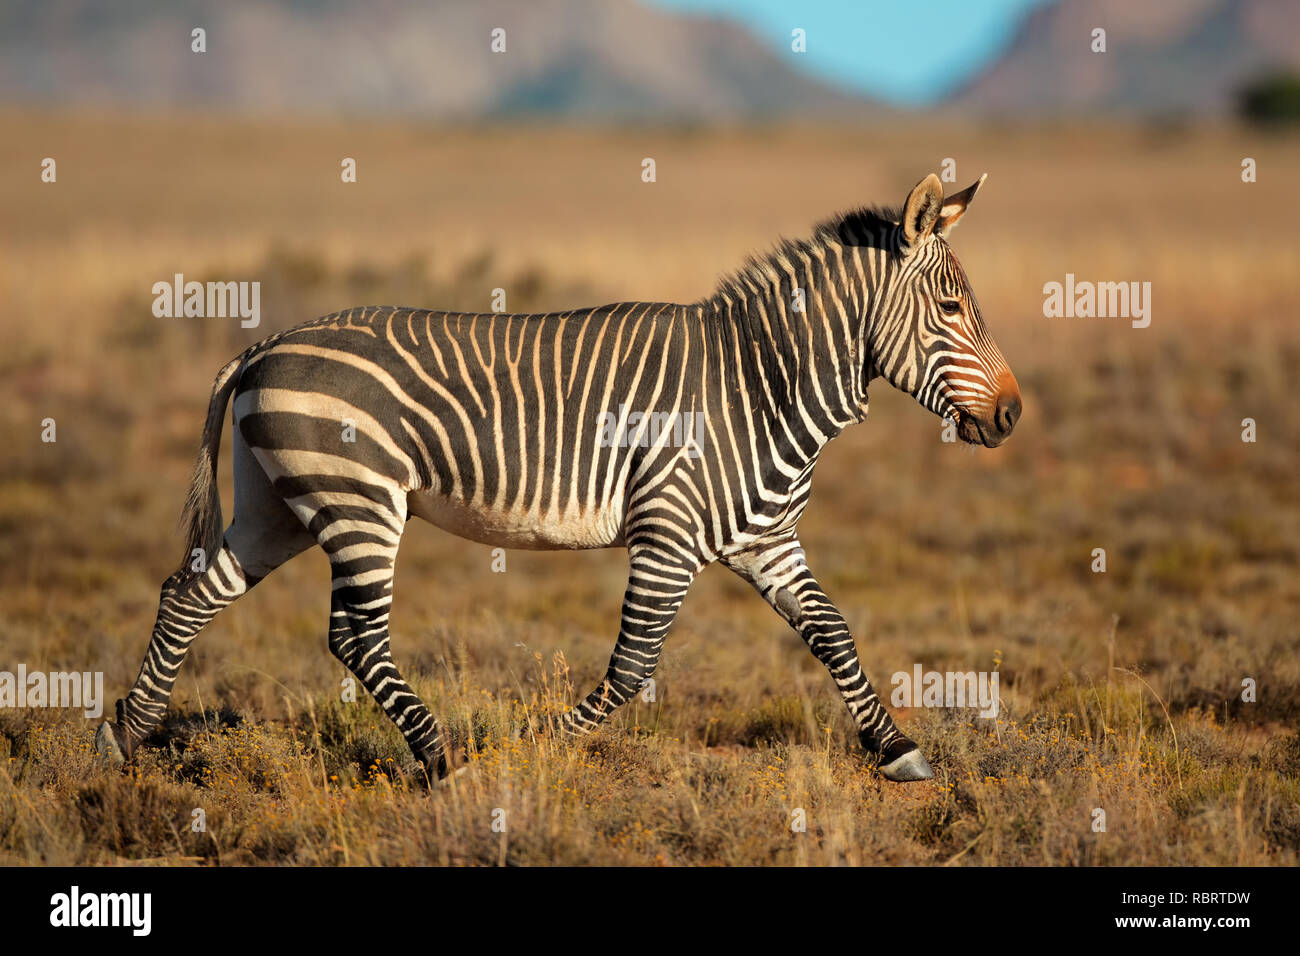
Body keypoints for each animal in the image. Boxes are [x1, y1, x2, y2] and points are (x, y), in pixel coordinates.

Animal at [96, 173, 1021, 784]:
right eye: (949, 311)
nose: (1013, 414)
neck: (760, 385)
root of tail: (265, 343)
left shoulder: (766, 539)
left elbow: (832, 632)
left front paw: (898, 750)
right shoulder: (667, 534)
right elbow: (633, 667)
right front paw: (532, 744)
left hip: (279, 506)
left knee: (190, 591)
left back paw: (124, 738)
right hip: (360, 501)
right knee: (354, 637)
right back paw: (441, 760)